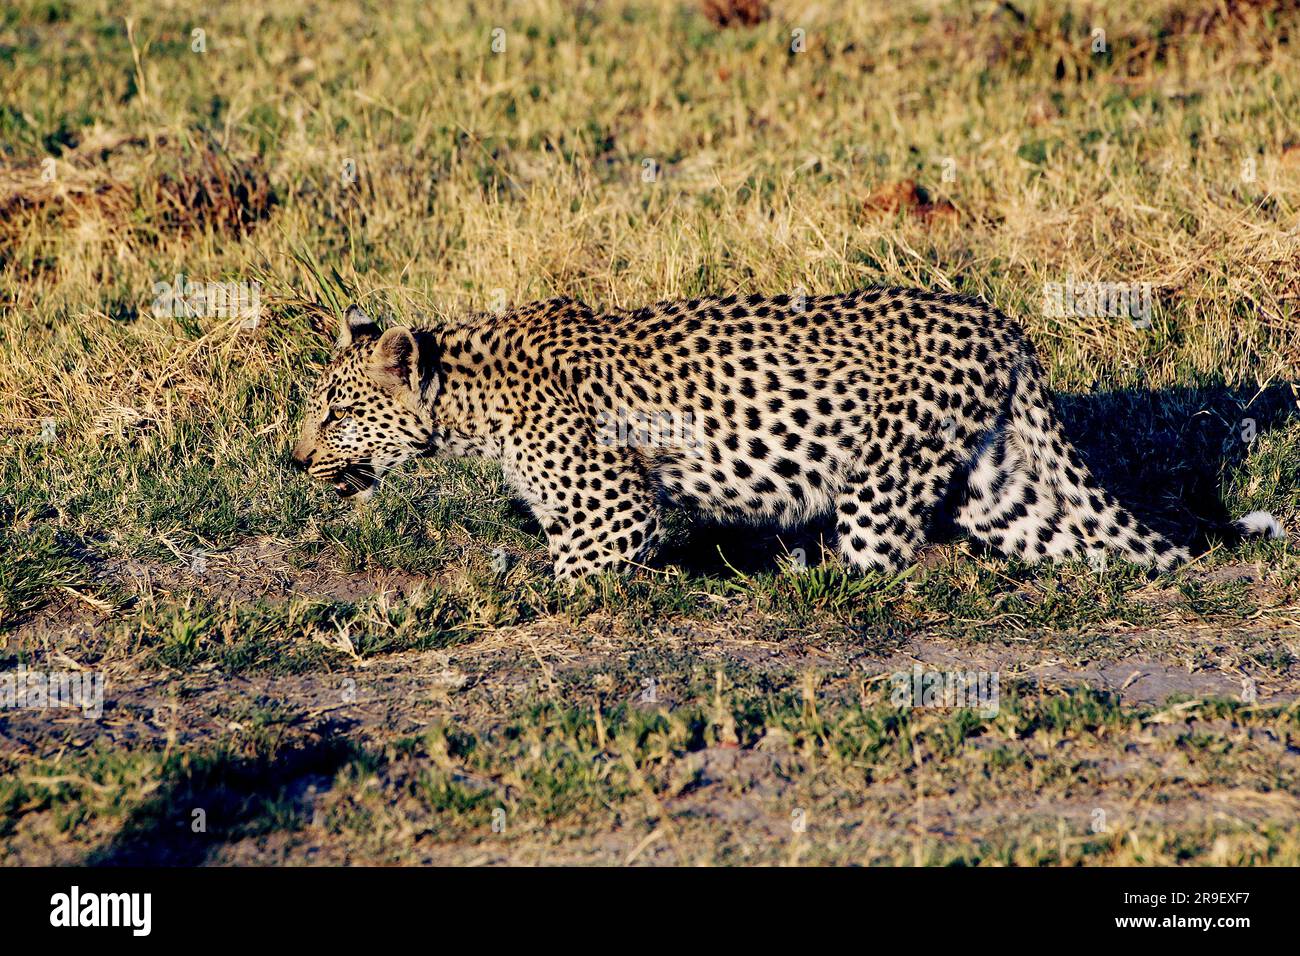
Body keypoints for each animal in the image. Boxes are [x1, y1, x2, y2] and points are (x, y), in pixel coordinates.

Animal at [290, 290, 1284, 579]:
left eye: (336, 410)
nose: (294, 457)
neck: (468, 396)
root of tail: (1000, 322)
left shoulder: (613, 518)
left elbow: (561, 580)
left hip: (881, 486)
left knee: (882, 565)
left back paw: (807, 583)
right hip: (997, 485)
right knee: (1084, 542)